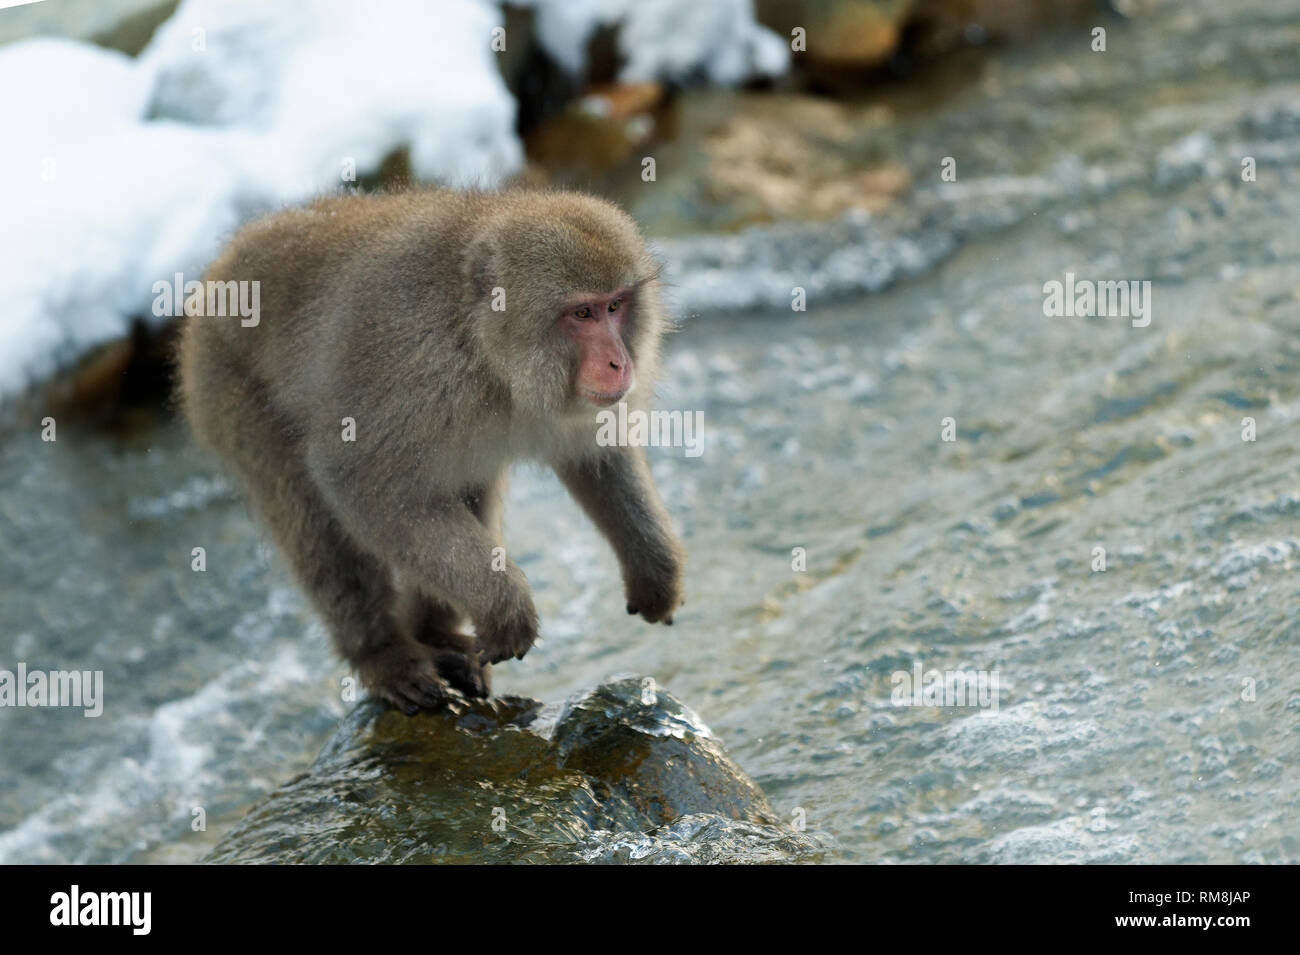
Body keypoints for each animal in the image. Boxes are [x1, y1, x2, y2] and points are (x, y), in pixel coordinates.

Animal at [177, 189, 684, 714]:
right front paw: (506, 609)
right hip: (230, 392)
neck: (483, 349)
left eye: (615, 306)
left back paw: (435, 633)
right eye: (582, 314)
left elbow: (598, 456)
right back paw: (383, 652)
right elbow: (360, 484)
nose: (619, 362)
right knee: (317, 524)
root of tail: (223, 266)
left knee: (467, 484)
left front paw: (655, 569)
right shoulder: (414, 373)